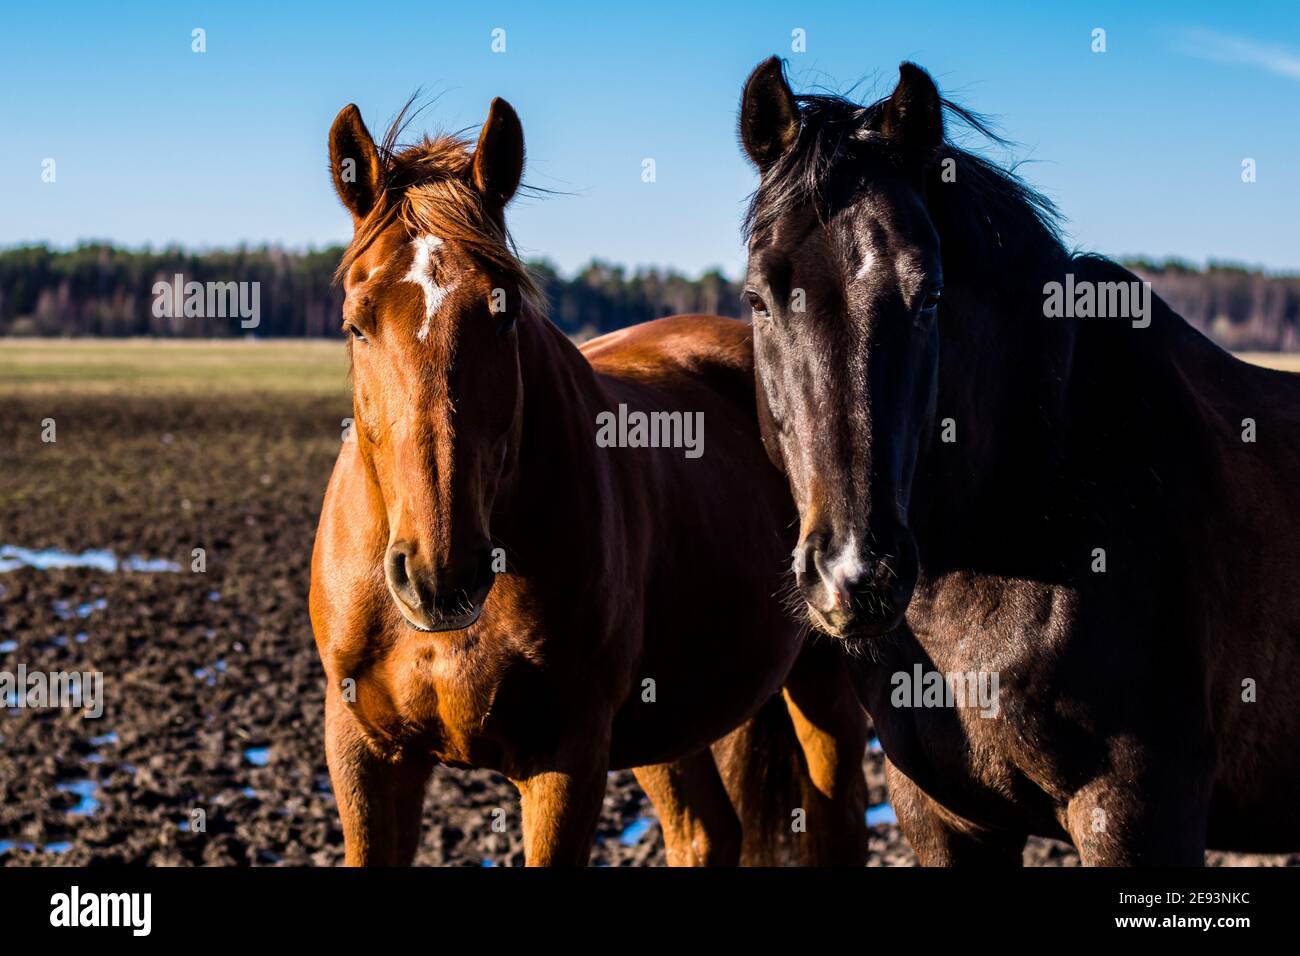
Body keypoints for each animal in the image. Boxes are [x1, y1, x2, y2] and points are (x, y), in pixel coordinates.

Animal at [308, 96, 869, 865]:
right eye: (357, 324)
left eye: (504, 311)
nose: (438, 575)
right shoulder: (366, 755)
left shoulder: (565, 763)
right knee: (706, 833)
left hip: (822, 679)